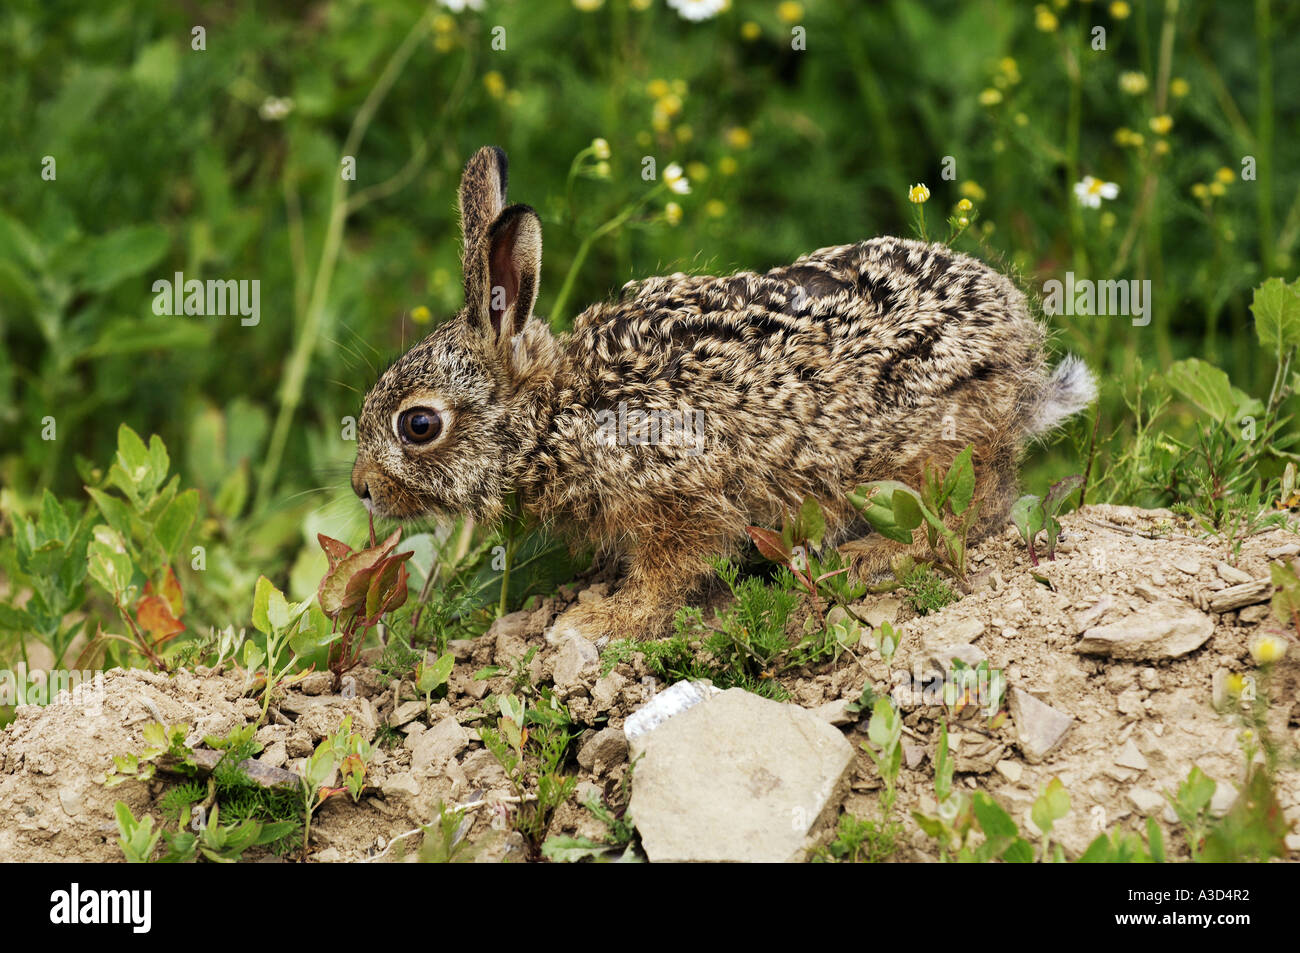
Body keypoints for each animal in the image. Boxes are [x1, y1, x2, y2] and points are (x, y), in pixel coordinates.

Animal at [351, 145, 1097, 642]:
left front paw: (601, 619)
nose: (361, 488)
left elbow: (668, 571)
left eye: (418, 425)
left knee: (971, 511)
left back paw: (870, 555)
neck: (552, 413)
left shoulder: (678, 493)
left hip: (927, 451)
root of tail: (1019, 348)